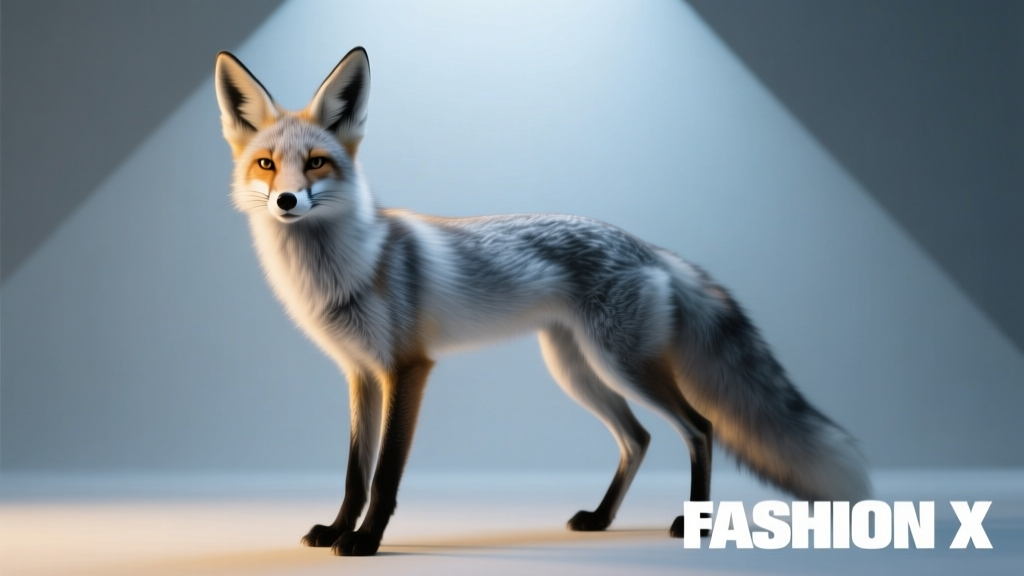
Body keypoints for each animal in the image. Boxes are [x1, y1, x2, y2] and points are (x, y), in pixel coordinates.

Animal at [215, 47, 870, 557]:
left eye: (317, 163)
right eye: (267, 165)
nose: (287, 201)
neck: (343, 268)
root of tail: (647, 245)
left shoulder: (407, 369)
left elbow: (384, 477)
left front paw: (367, 542)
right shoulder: (360, 375)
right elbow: (355, 473)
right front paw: (335, 531)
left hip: (623, 365)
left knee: (700, 427)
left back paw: (698, 526)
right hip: (576, 370)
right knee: (638, 438)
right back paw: (600, 519)